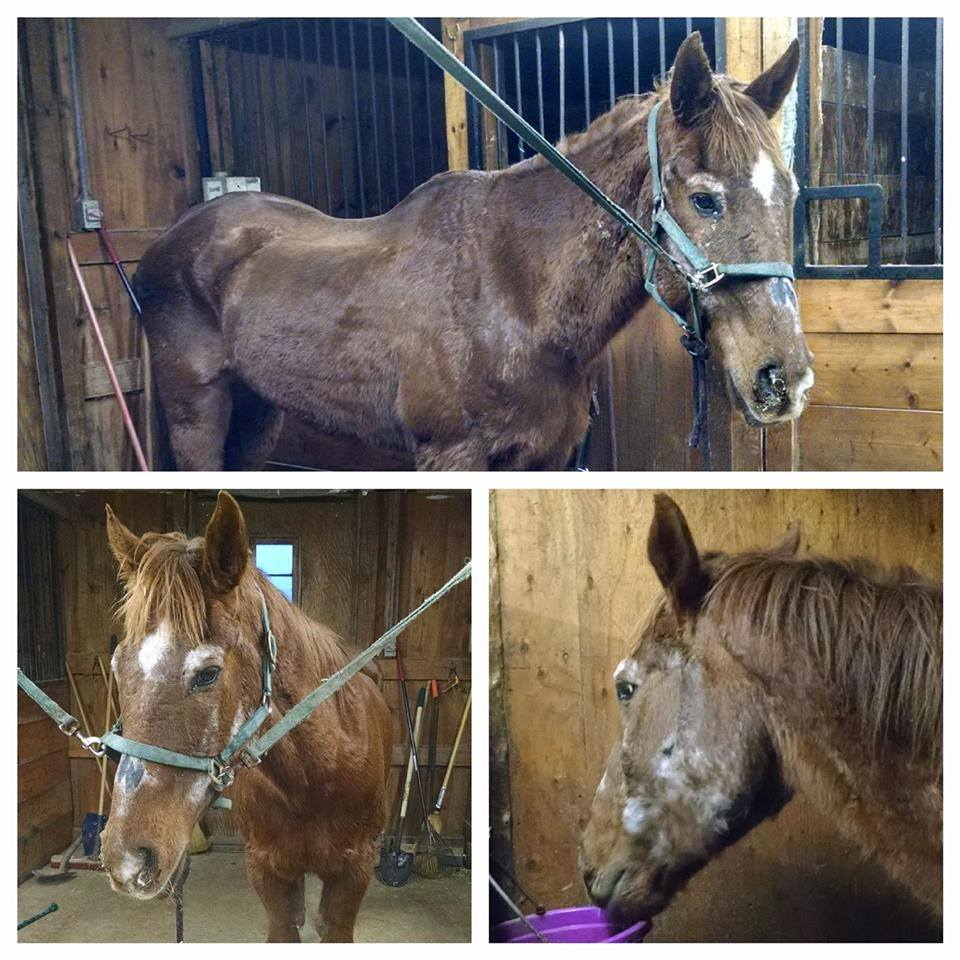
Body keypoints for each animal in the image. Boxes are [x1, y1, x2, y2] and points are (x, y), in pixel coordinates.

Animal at [99, 491, 391, 942]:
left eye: (208, 673)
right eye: (117, 666)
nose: (128, 858)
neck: (315, 778)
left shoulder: (353, 874)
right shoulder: (267, 871)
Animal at [134, 32, 812, 471]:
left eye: (793, 191)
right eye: (704, 200)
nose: (785, 379)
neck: (514, 294)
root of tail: (168, 243)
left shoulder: (545, 458)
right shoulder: (452, 455)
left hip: (259, 409)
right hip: (196, 410)